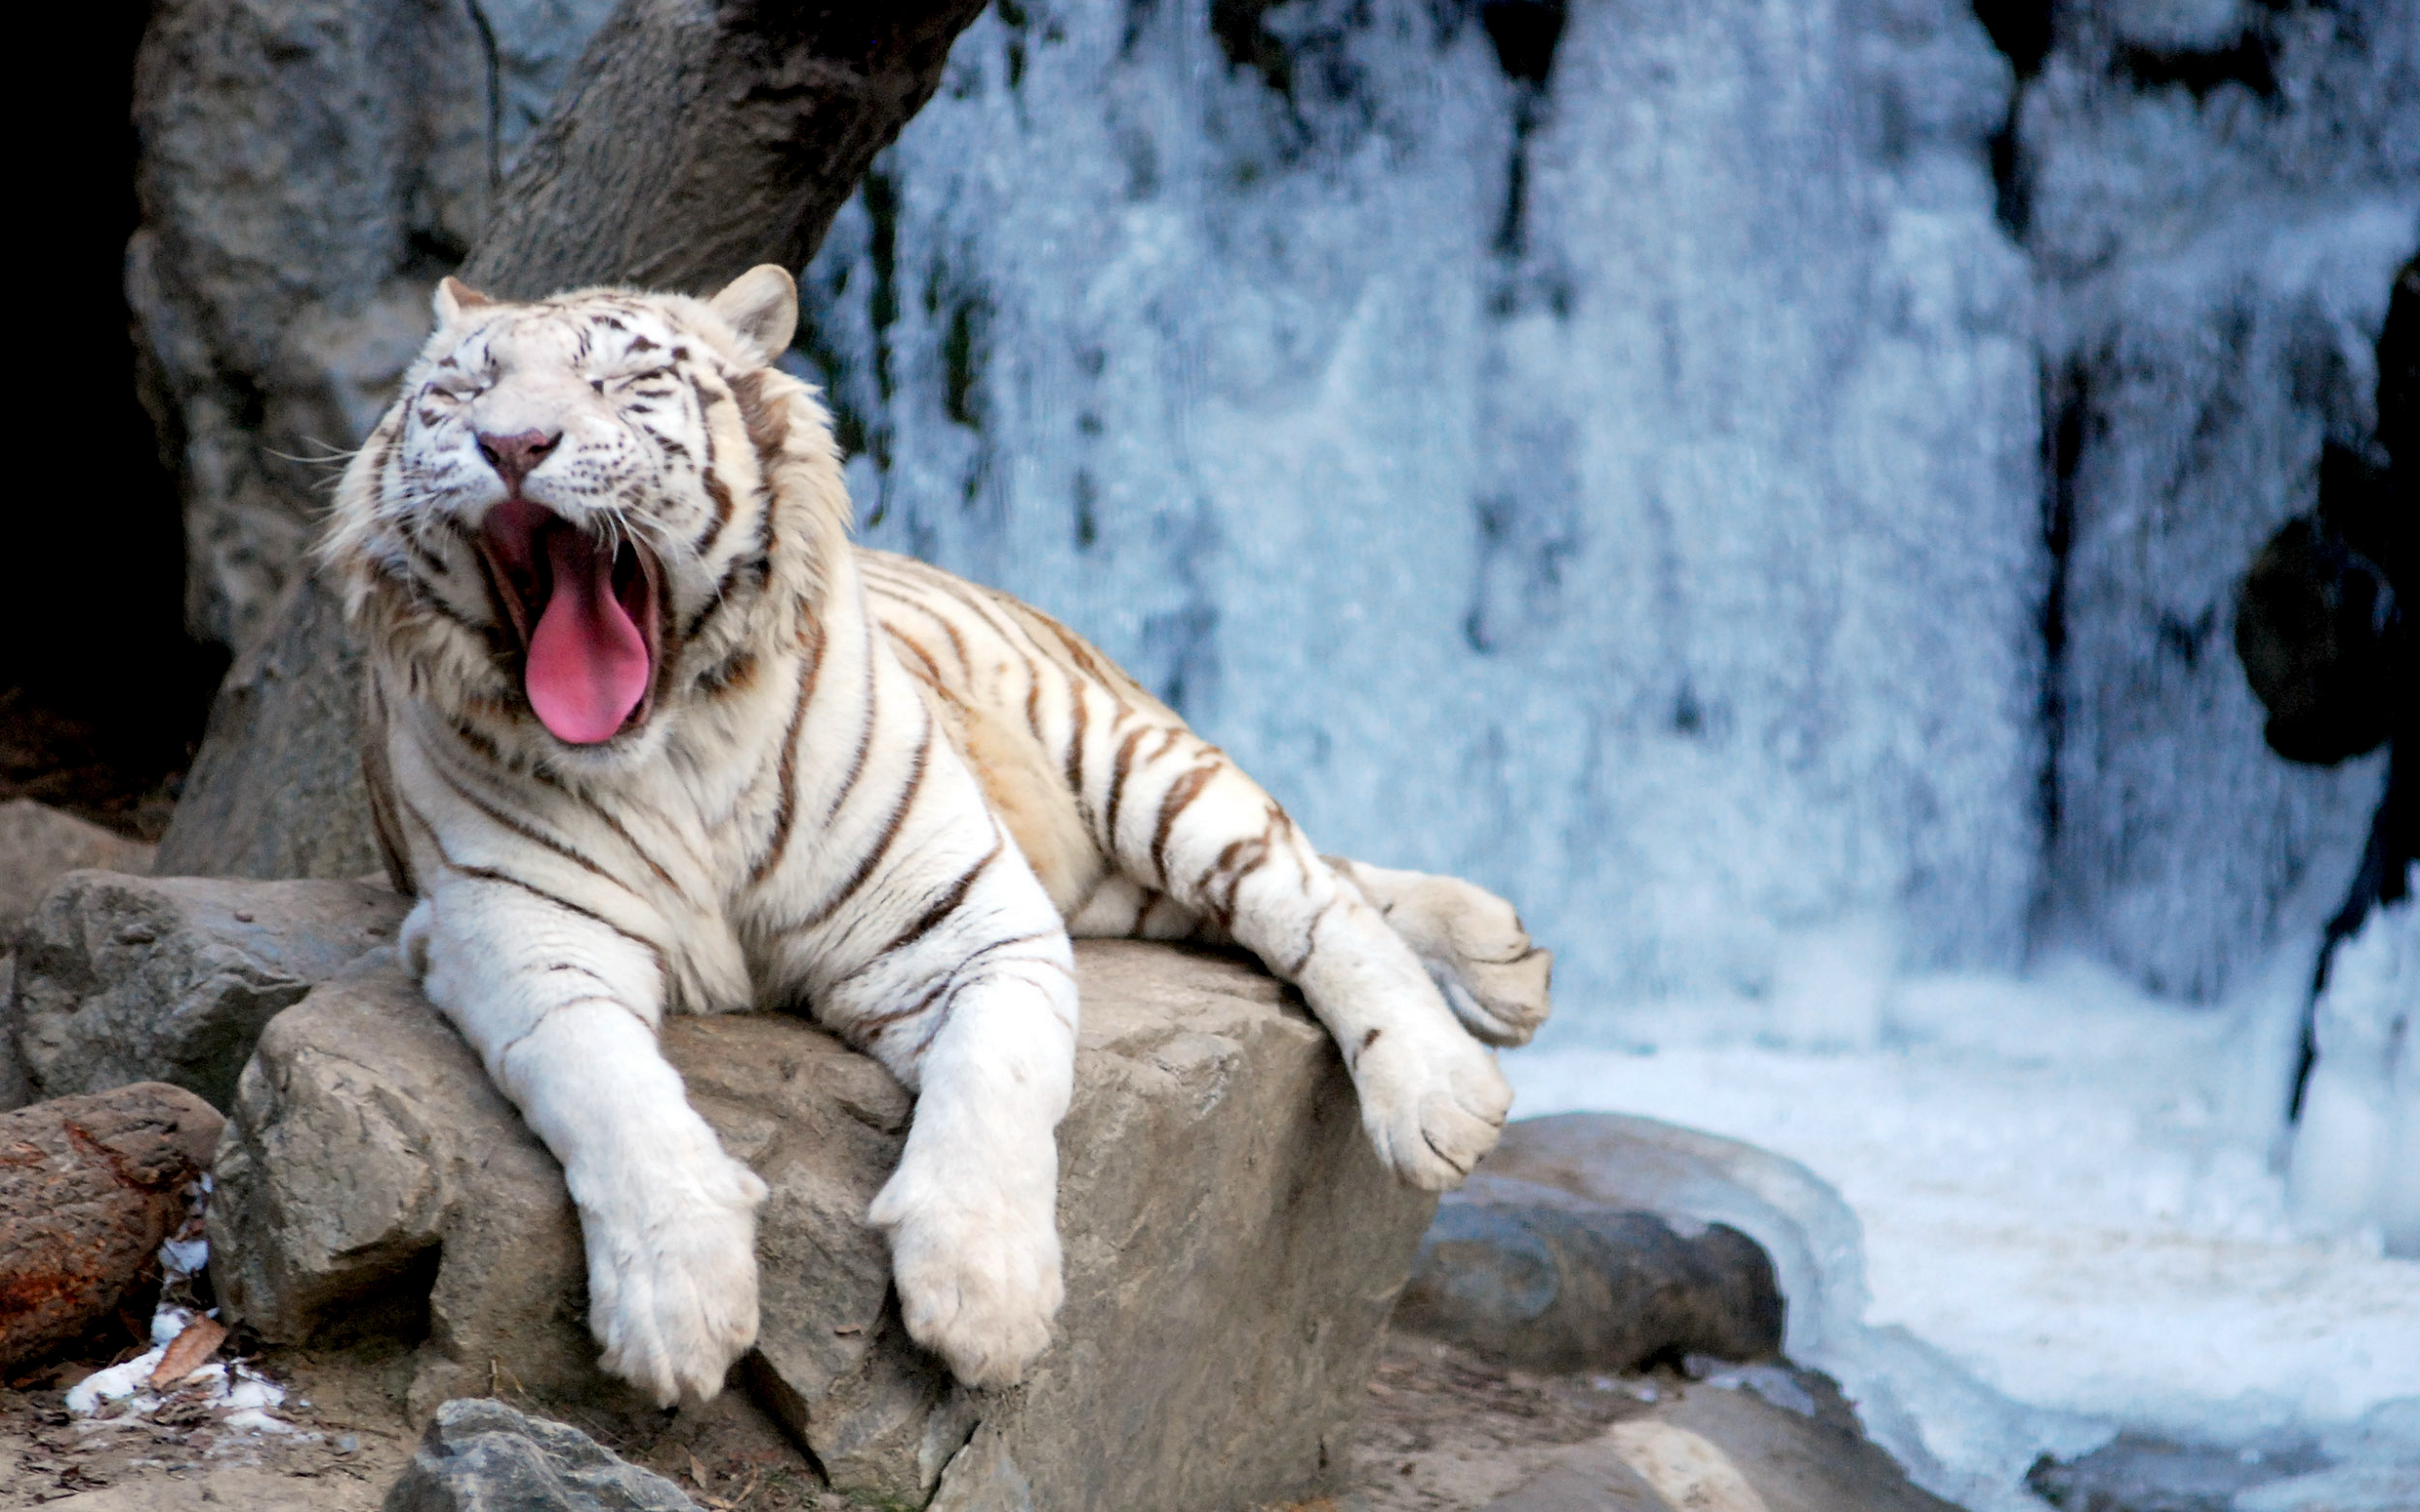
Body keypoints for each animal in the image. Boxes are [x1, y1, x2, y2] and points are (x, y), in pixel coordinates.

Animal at [318, 264, 1552, 1406]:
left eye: (618, 381)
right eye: (460, 390)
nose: (512, 443)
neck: (670, 750)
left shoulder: (967, 916)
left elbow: (998, 1079)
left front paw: (984, 1298)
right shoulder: (519, 939)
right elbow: (609, 1093)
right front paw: (678, 1308)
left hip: (1125, 761)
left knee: (1305, 887)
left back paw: (1446, 1081)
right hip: (1113, 883)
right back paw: (1505, 954)